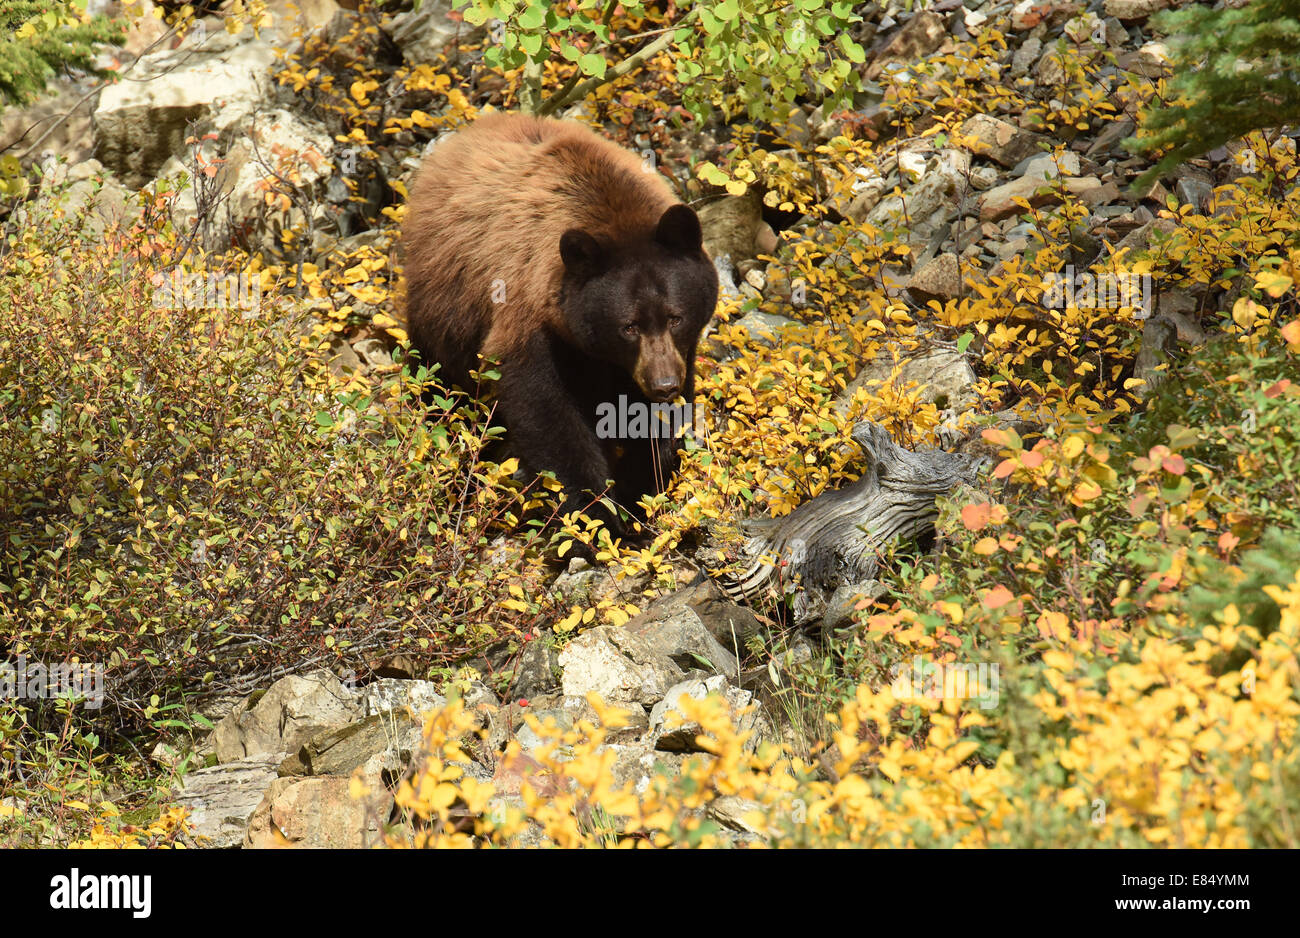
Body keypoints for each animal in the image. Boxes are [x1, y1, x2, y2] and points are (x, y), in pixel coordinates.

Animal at [401, 113, 718, 530]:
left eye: (676, 317)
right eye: (629, 326)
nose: (663, 384)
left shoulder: (676, 352)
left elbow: (650, 422)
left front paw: (639, 494)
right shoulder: (531, 320)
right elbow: (547, 415)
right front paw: (599, 515)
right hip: (442, 308)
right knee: (436, 378)